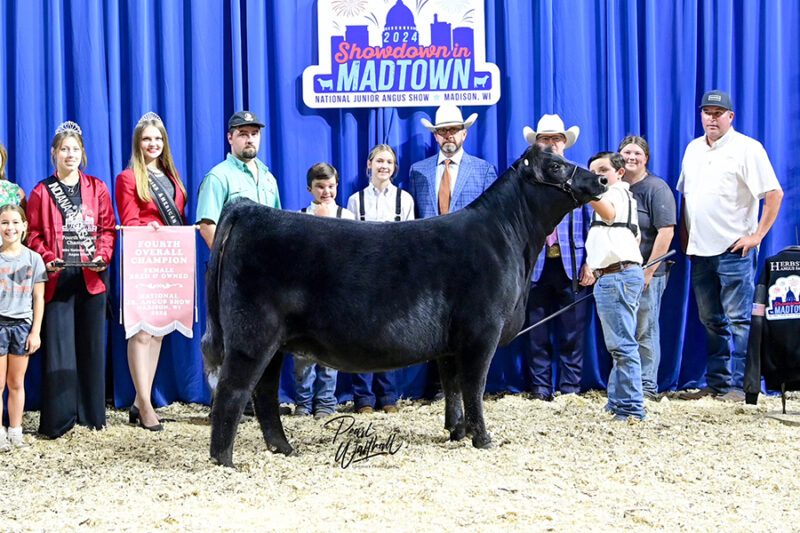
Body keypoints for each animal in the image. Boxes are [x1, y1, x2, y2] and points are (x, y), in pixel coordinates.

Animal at [202, 144, 607, 467]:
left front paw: (456, 431)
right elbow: (474, 386)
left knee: (265, 394)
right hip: (252, 336)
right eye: (554, 166)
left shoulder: (451, 344)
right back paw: (225, 461)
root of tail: (248, 209)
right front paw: (482, 438)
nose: (601, 180)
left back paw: (283, 448)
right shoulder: (482, 332)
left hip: (273, 344)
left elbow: (453, 386)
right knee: (232, 391)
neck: (508, 239)